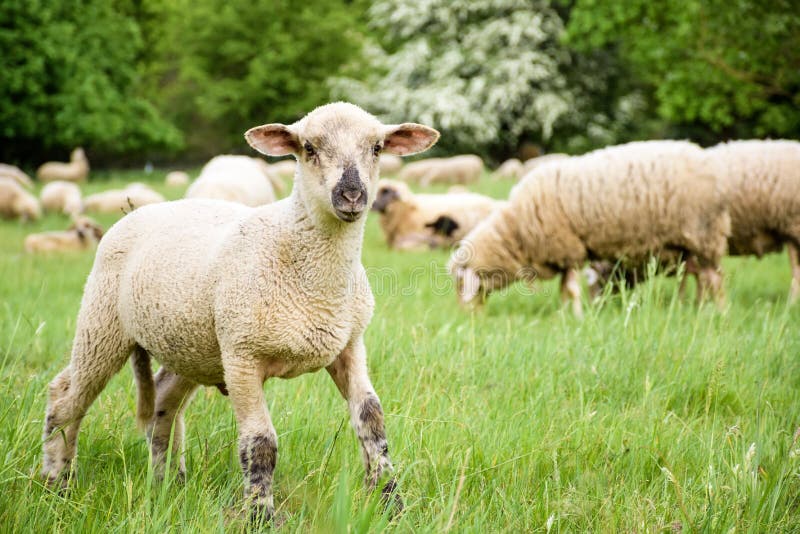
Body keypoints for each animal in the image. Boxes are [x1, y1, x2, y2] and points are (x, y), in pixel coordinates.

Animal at [39, 102, 439, 522]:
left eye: (377, 148)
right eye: (309, 148)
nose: (351, 194)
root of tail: (139, 212)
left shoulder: (349, 345)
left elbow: (372, 423)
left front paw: (392, 503)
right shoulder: (242, 357)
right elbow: (260, 442)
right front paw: (261, 514)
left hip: (191, 346)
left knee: (163, 402)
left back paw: (167, 483)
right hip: (102, 323)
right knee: (66, 399)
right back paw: (57, 485)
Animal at [449, 141, 730, 316]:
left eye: (462, 283)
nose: (466, 315)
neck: (517, 230)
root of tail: (711, 166)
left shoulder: (569, 248)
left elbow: (571, 289)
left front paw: (576, 316)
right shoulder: (562, 254)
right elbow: (565, 290)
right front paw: (565, 314)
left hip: (704, 232)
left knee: (715, 278)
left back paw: (718, 311)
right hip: (687, 243)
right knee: (699, 276)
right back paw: (696, 306)